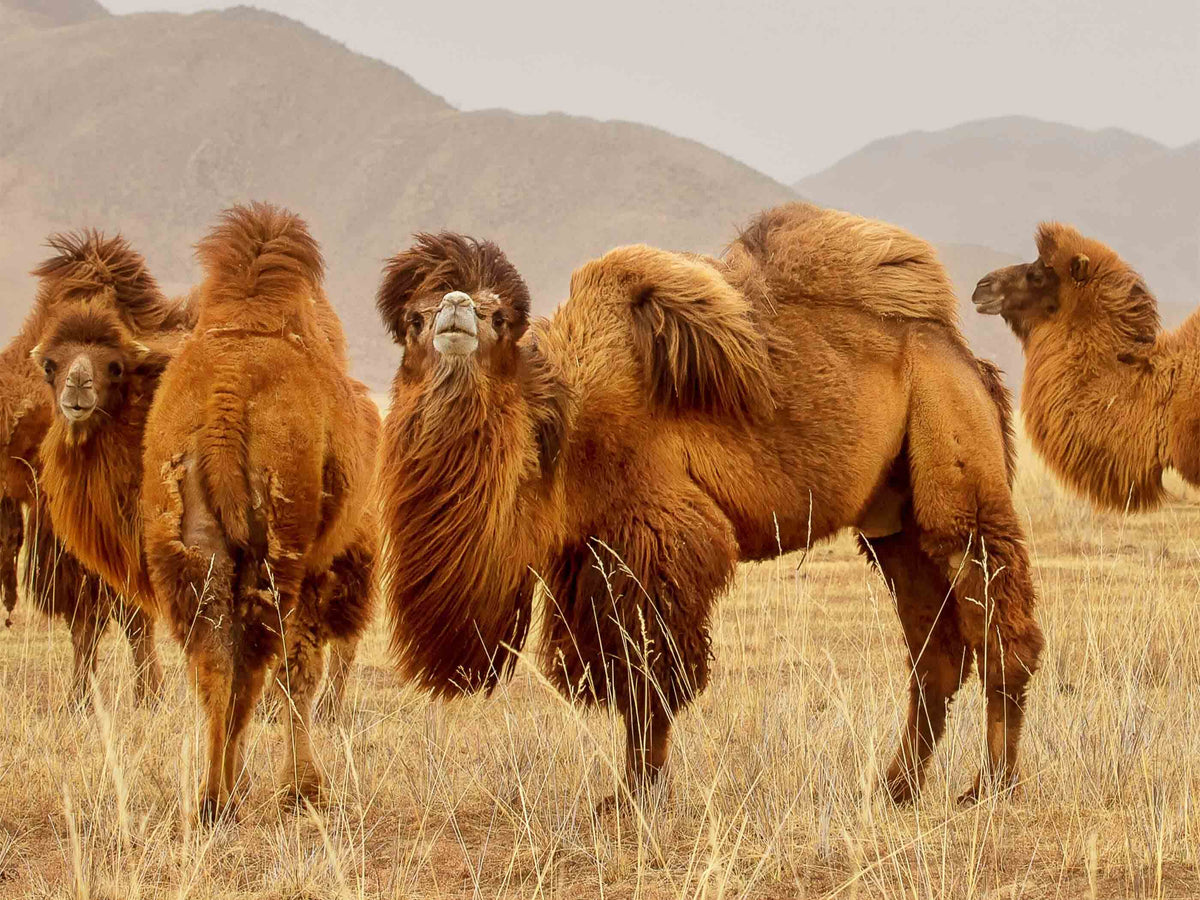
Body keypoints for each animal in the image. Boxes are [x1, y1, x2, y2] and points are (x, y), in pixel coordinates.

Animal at [0, 231, 187, 703]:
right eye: (50, 365)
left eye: (115, 367)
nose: (78, 387)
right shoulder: (68, 543)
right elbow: (84, 622)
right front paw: (80, 697)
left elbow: (134, 616)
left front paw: (150, 695)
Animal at [133, 203, 378, 821]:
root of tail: (226, 393)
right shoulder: (315, 569)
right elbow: (300, 674)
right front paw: (304, 789)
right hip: (278, 554)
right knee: (258, 664)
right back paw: (239, 792)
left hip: (190, 553)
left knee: (216, 665)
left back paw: (216, 797)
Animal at [375, 202, 1044, 807]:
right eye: (414, 318)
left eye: (498, 317)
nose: (454, 312)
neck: (564, 435)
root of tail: (965, 355)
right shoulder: (589, 554)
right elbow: (621, 666)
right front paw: (631, 791)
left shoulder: (659, 537)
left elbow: (652, 672)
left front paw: (637, 795)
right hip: (892, 523)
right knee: (936, 654)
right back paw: (896, 787)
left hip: (953, 447)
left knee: (995, 623)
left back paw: (992, 786)